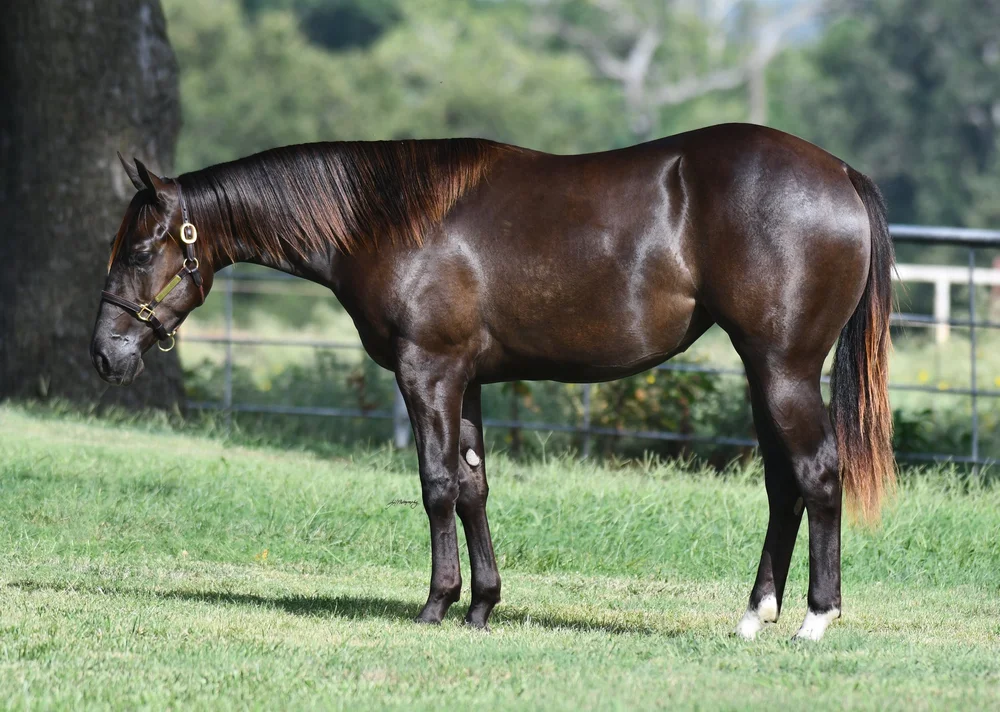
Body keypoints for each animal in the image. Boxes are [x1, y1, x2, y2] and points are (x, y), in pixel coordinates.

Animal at [91, 123, 895, 641]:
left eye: (141, 249)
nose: (105, 354)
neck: (389, 220)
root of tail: (840, 175)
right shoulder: (467, 380)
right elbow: (474, 485)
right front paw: (482, 605)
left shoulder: (428, 371)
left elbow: (437, 485)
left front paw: (435, 603)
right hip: (765, 371)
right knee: (784, 486)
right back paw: (756, 614)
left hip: (783, 368)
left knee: (819, 474)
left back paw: (817, 618)